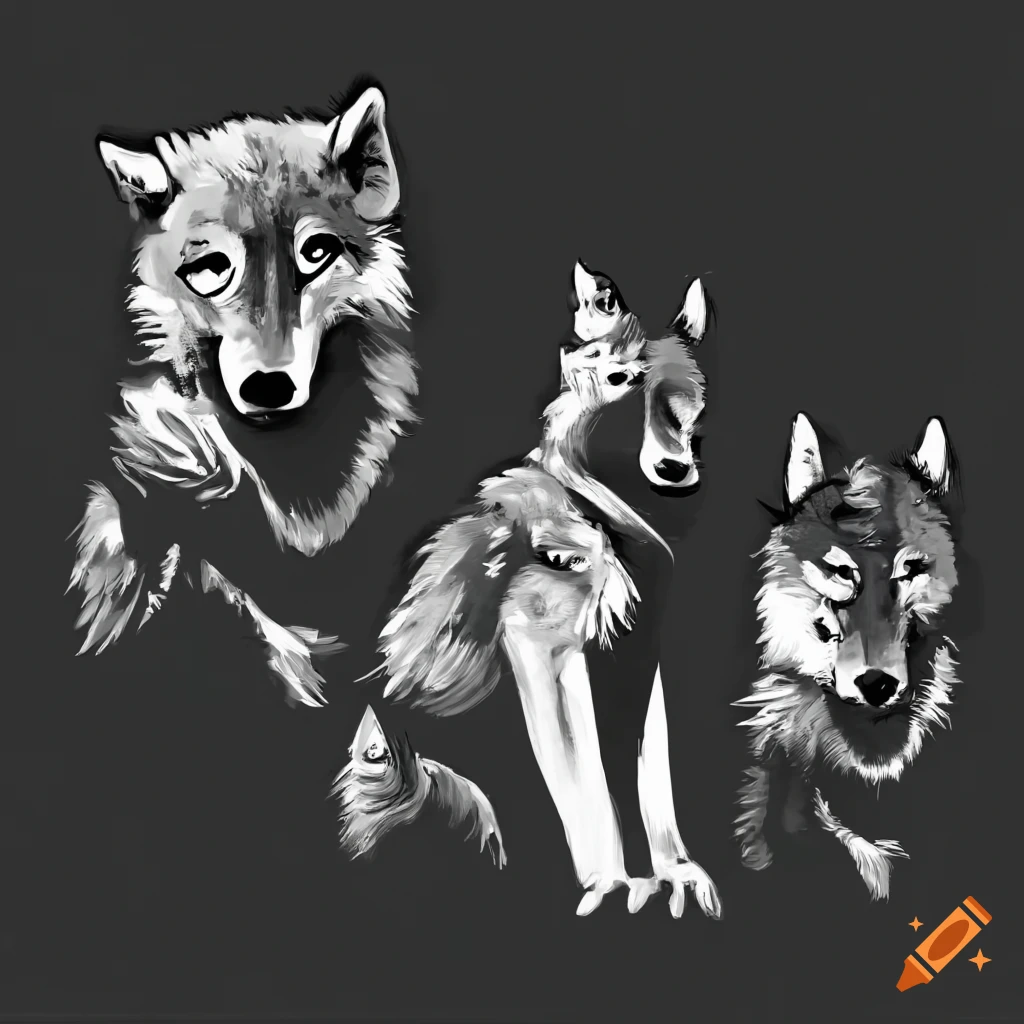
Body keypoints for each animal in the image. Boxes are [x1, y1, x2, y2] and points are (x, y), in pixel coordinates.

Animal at [351, 260, 722, 919]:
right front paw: (612, 884)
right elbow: (583, 772)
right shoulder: (544, 650)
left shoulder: (638, 652)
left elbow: (649, 768)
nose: (675, 469)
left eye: (695, 393)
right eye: (619, 378)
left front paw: (675, 876)